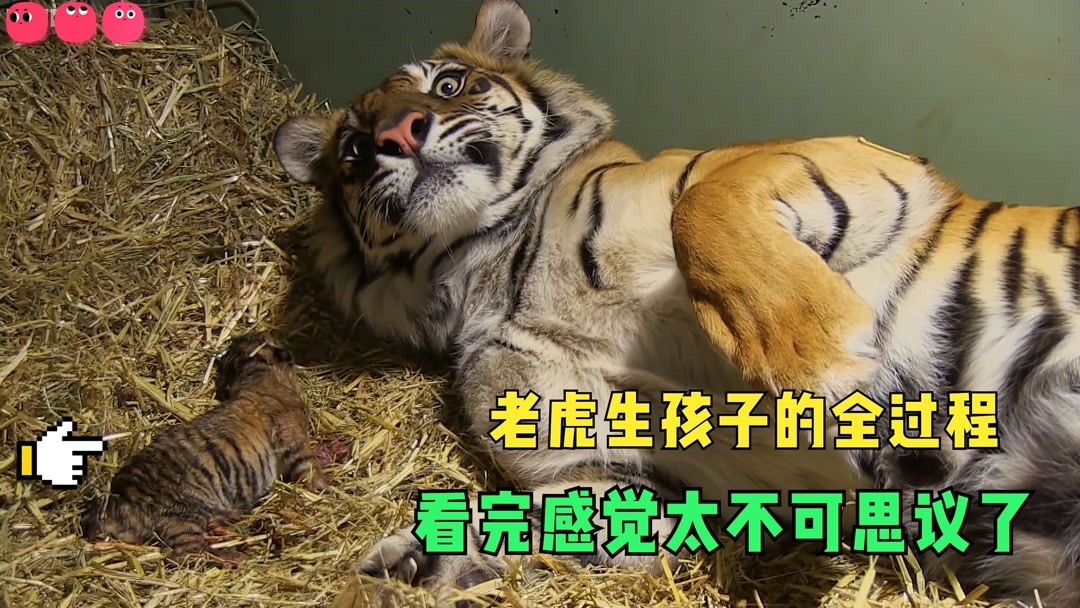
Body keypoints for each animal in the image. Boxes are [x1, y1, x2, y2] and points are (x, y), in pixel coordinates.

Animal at [80, 332, 329, 562]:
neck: (256, 374)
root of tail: (120, 503)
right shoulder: (292, 435)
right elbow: (309, 466)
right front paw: (324, 486)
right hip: (183, 516)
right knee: (189, 554)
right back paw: (232, 557)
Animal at [271, 0, 1078, 605]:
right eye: (352, 149)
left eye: (446, 86)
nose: (395, 134)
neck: (488, 268)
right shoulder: (616, 476)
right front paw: (406, 569)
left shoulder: (846, 161)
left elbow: (703, 205)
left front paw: (812, 356)